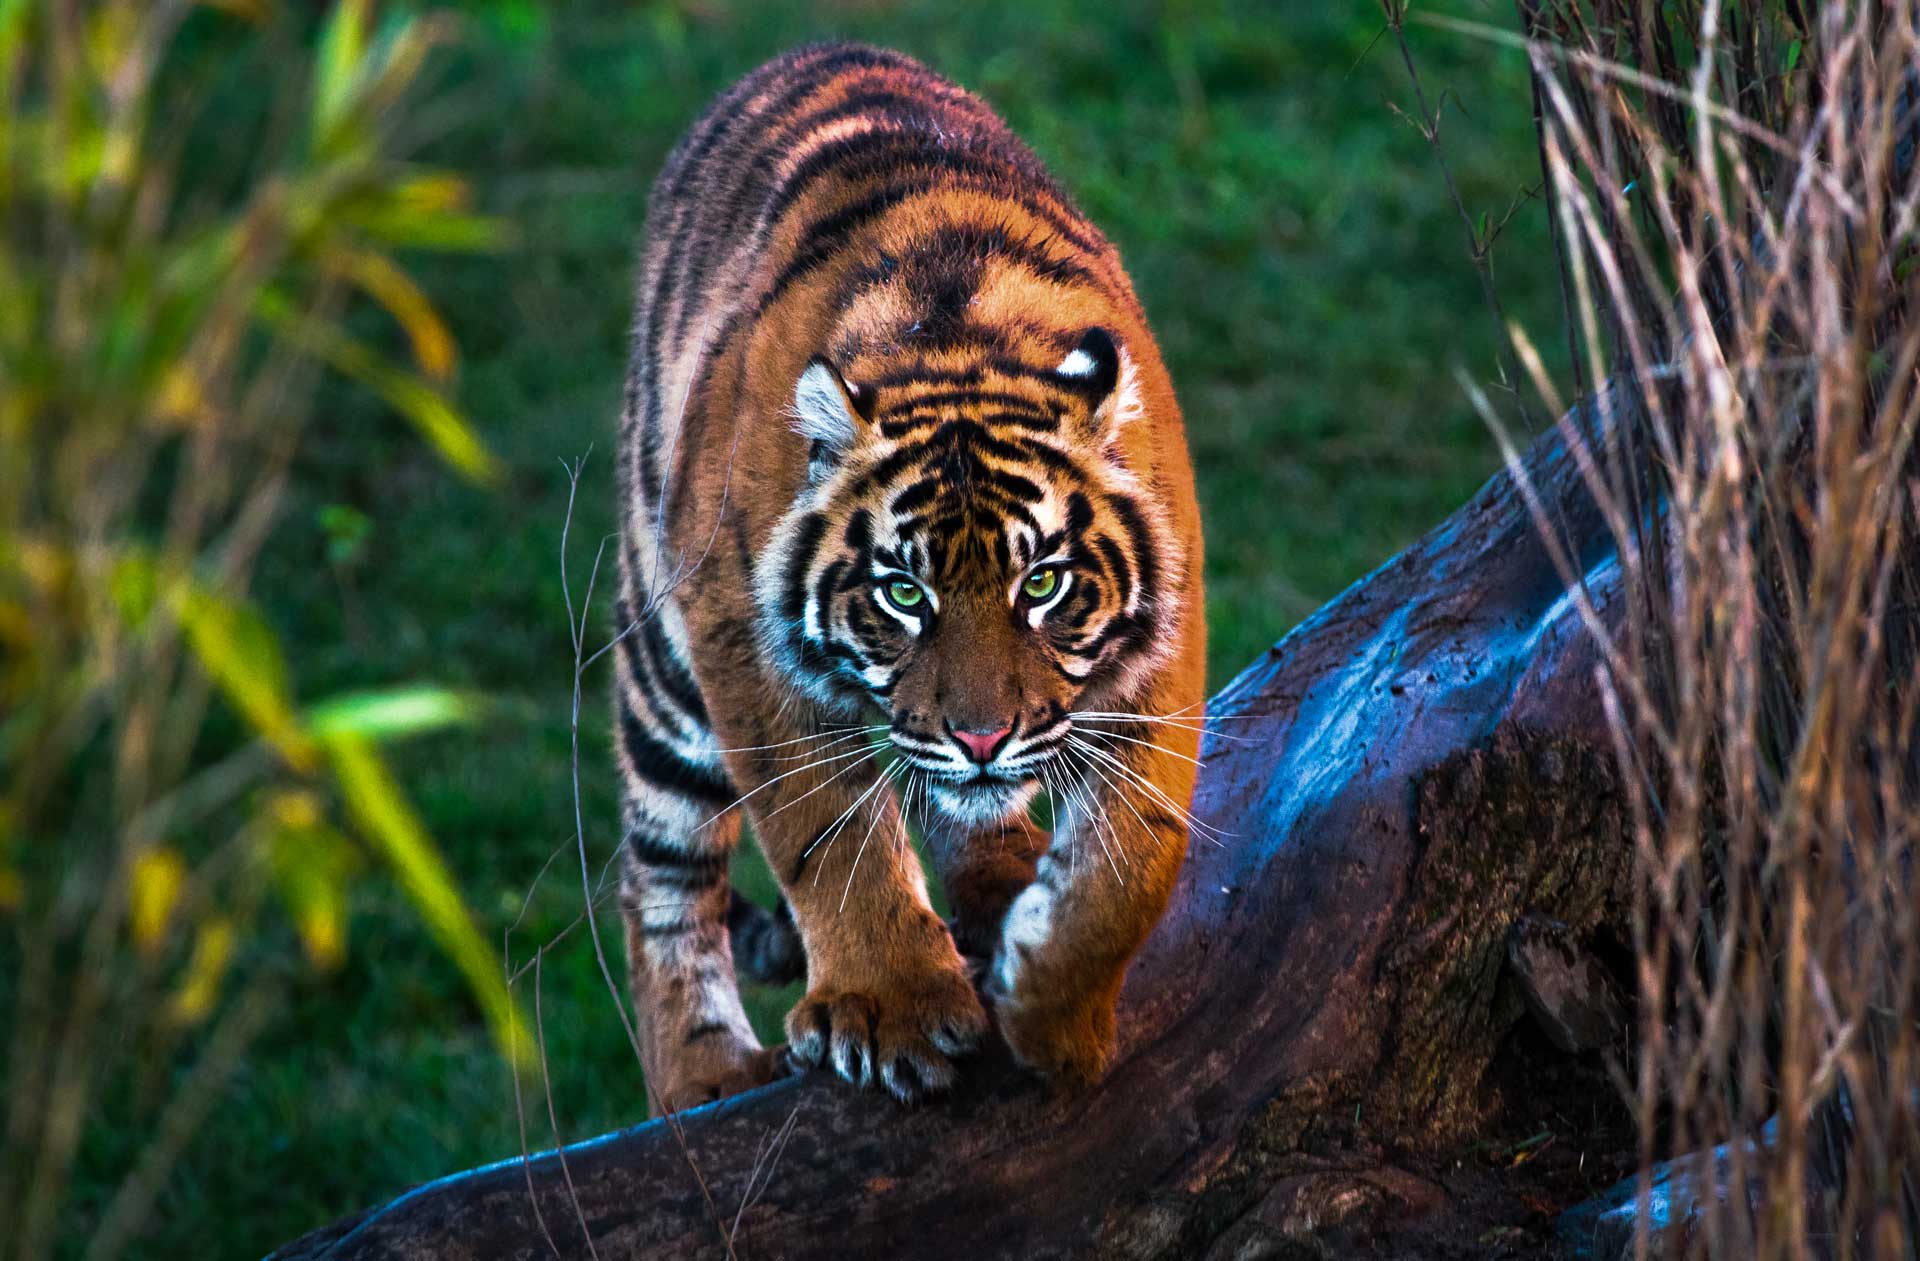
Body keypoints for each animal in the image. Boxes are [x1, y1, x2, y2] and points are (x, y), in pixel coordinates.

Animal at [613, 41, 1206, 1112]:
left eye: (1043, 585)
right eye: (902, 593)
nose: (981, 737)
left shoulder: (1165, 643)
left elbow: (1136, 856)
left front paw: (1054, 1015)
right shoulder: (737, 632)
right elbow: (823, 833)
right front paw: (892, 1009)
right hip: (664, 660)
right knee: (663, 872)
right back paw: (705, 1074)